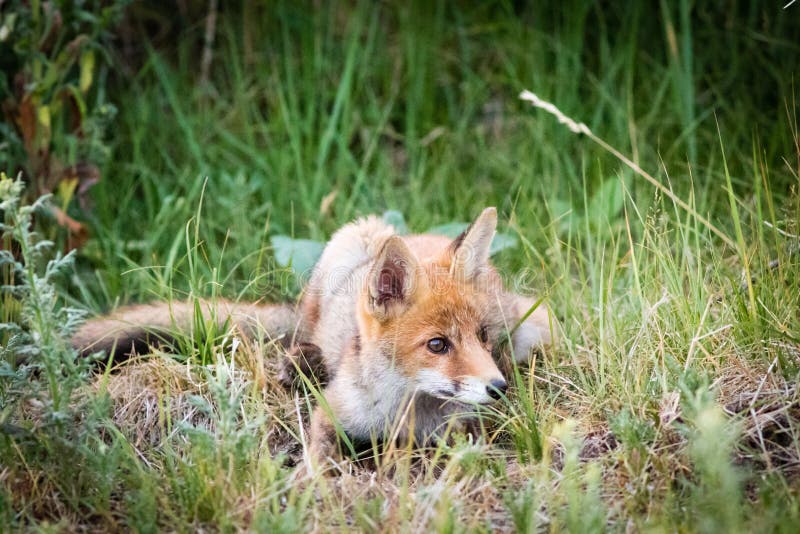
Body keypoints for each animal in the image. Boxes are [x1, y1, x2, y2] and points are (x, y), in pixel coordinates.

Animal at [71, 207, 553, 467]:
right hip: (350, 242)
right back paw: (301, 361)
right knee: (301, 338)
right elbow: (320, 458)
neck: (406, 415)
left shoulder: (463, 429)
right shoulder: (331, 414)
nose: (498, 387)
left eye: (481, 336)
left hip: (527, 324)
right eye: (437, 345)